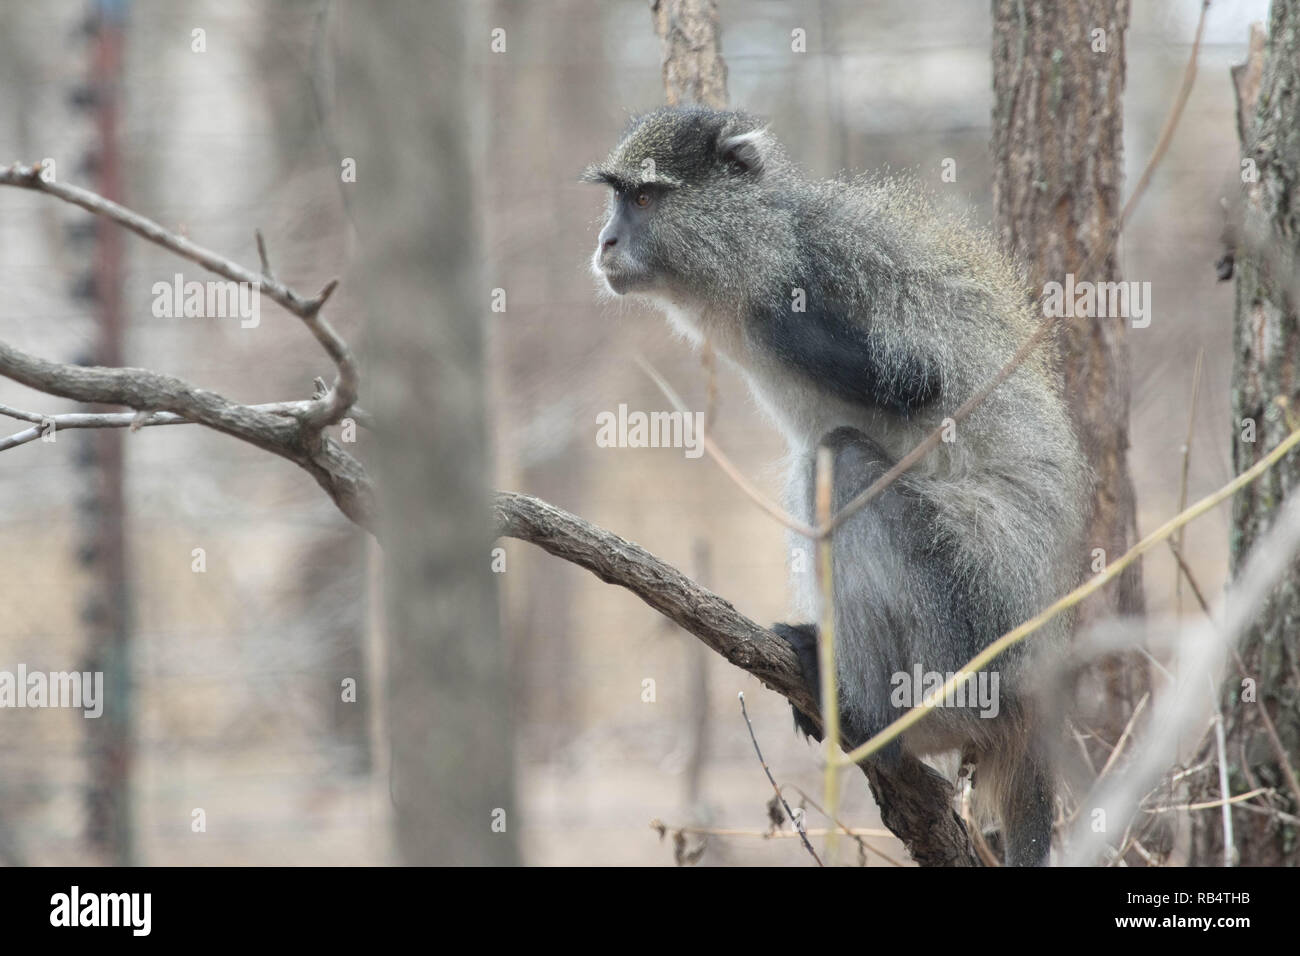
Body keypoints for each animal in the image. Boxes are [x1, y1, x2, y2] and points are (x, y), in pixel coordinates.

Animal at [584, 106, 1087, 866]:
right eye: (618, 199)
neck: (758, 240)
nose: (607, 241)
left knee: (839, 462)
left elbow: (920, 380)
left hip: (968, 635)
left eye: (644, 198)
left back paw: (884, 721)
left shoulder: (804, 281)